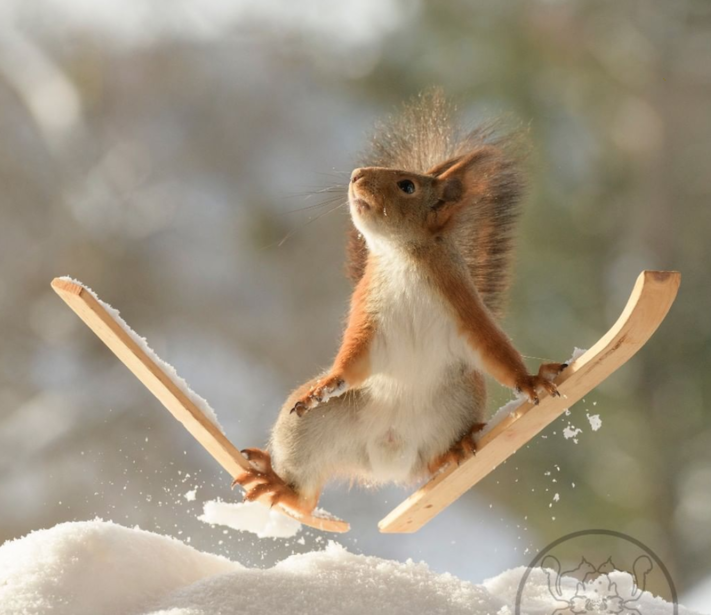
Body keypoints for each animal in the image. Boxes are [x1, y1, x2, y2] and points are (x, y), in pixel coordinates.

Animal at [233, 91, 566, 516]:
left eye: (407, 185)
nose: (356, 175)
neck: (400, 257)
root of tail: (386, 464)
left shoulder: (463, 306)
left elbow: (494, 350)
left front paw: (531, 381)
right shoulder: (367, 314)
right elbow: (352, 360)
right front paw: (328, 382)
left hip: (458, 403)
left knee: (430, 463)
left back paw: (456, 449)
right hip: (305, 430)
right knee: (305, 497)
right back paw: (279, 486)